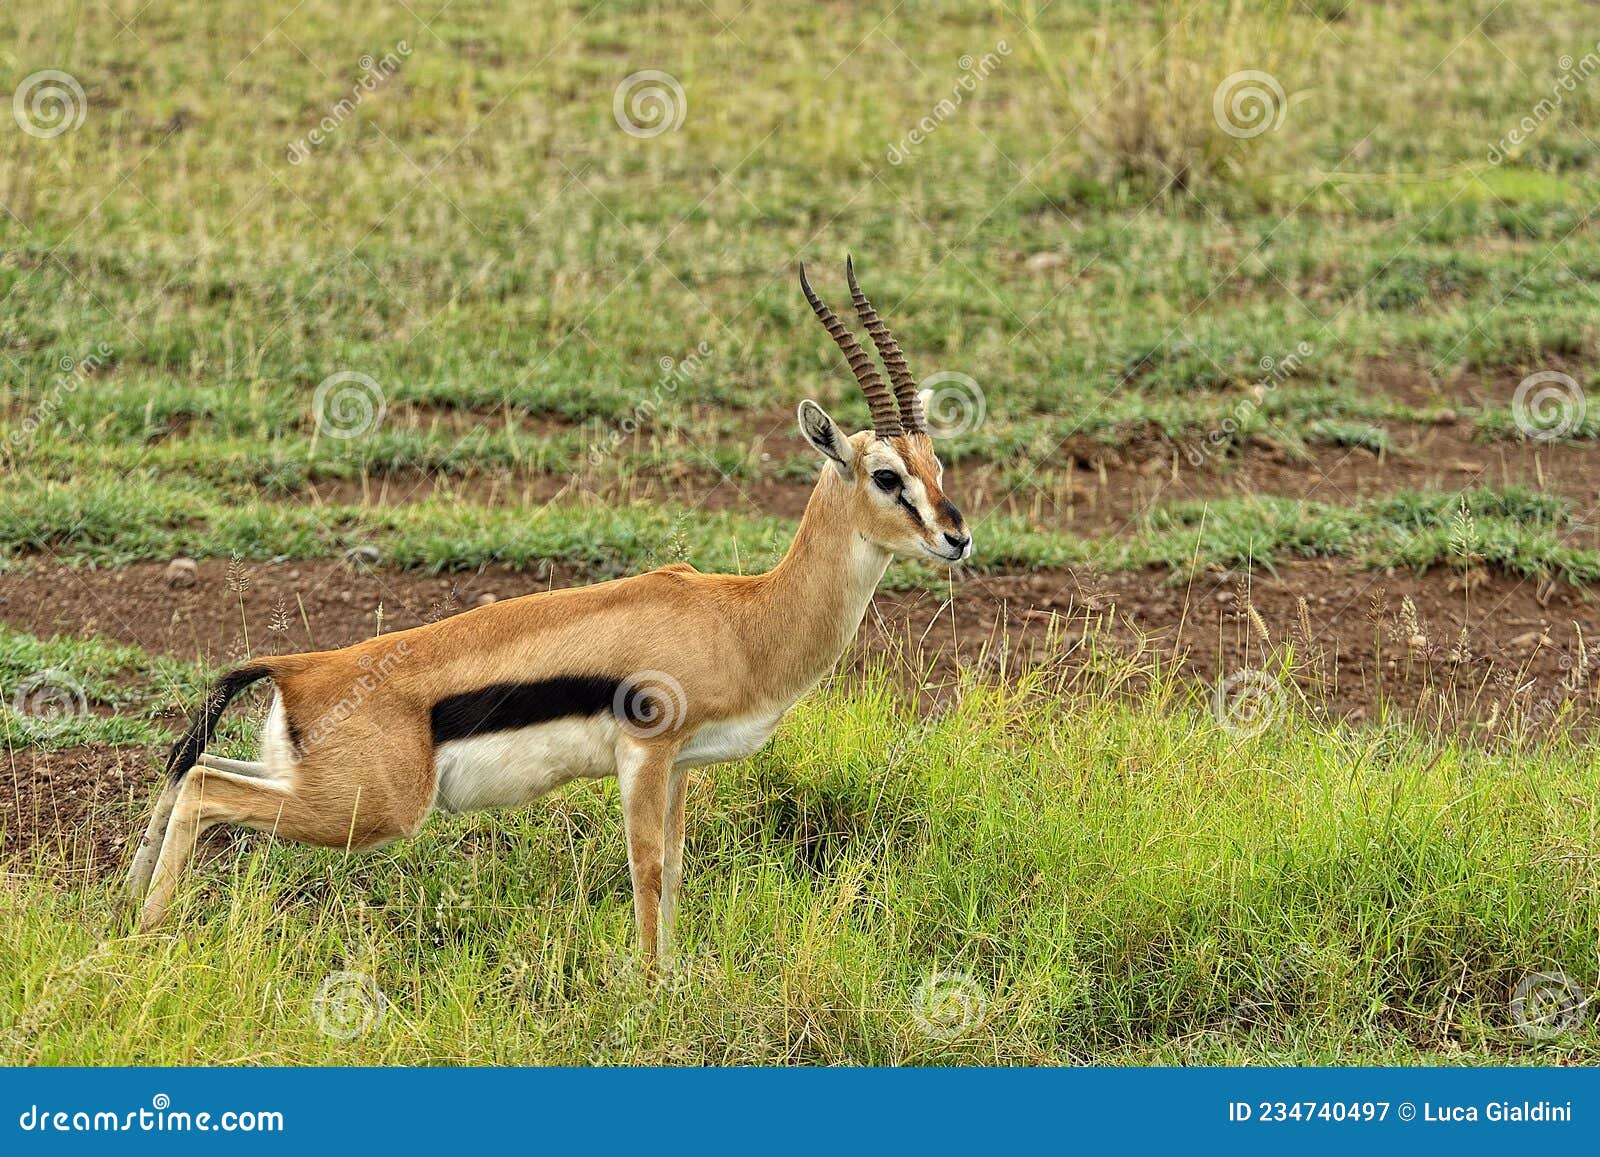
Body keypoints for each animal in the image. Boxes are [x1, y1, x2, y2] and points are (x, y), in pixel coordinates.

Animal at [126, 260, 973, 962]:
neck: (740, 619)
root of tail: (300, 666)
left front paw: (675, 974)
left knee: (193, 769)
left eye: (936, 465)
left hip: (306, 783)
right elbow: (648, 868)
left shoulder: (681, 766)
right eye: (886, 476)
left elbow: (676, 866)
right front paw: (651, 989)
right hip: (370, 809)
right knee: (203, 793)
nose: (957, 537)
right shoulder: (646, 753)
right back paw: (146, 937)